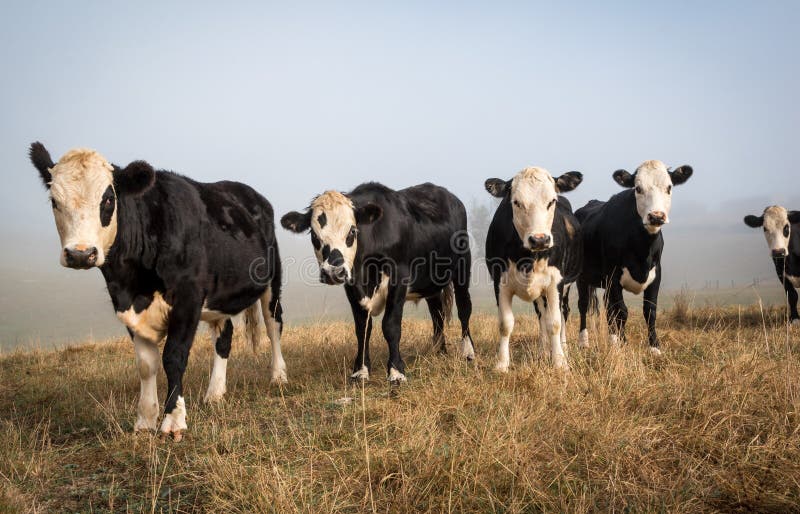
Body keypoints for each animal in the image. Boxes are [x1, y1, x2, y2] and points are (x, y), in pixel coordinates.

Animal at [28, 142, 286, 441]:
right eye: (54, 201)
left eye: (108, 200)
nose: (80, 254)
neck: (134, 281)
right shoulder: (126, 303)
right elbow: (146, 364)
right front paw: (145, 420)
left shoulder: (188, 297)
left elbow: (174, 356)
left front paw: (173, 421)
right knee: (224, 336)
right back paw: (214, 393)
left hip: (272, 280)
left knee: (273, 324)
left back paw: (278, 376)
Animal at [281, 182, 474, 384]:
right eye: (314, 235)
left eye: (352, 231)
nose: (333, 272)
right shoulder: (352, 286)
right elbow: (362, 328)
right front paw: (361, 371)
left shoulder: (399, 277)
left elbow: (390, 325)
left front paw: (396, 372)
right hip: (431, 282)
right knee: (437, 313)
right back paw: (439, 351)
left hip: (463, 264)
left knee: (464, 307)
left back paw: (468, 352)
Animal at [484, 167, 583, 371]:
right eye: (516, 202)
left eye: (552, 201)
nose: (539, 239)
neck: (528, 259)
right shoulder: (500, 281)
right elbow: (505, 324)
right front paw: (501, 364)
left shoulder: (556, 282)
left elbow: (555, 323)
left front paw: (560, 362)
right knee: (541, 315)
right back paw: (543, 350)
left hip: (566, 286)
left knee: (563, 313)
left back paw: (563, 349)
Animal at [573, 160, 693, 356]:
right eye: (638, 188)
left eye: (669, 187)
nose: (656, 216)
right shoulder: (613, 275)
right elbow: (621, 311)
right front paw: (622, 344)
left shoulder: (656, 274)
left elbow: (650, 310)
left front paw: (654, 347)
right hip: (582, 277)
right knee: (583, 305)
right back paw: (584, 341)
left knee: (607, 306)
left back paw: (611, 338)